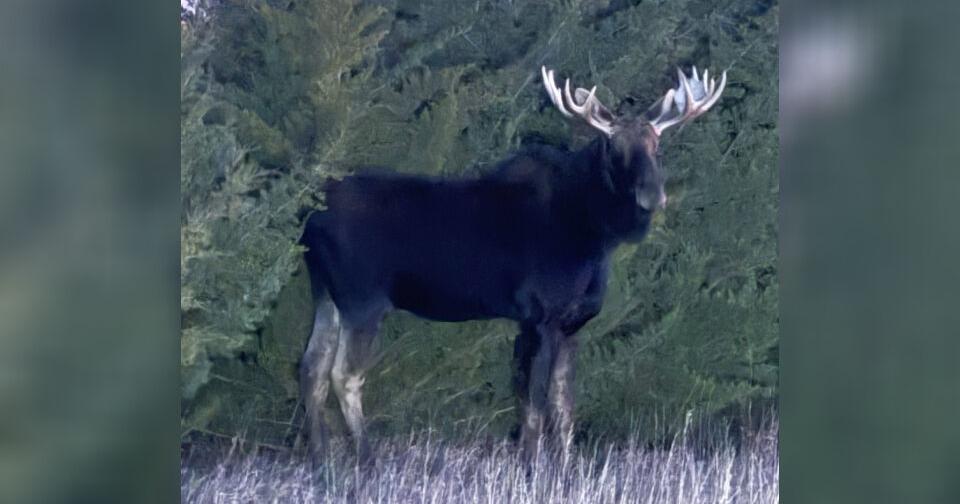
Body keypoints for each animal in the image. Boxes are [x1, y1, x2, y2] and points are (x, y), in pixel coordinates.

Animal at [298, 65, 726, 463]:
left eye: (657, 146)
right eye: (612, 146)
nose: (653, 195)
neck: (595, 235)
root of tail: (309, 220)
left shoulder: (572, 325)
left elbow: (564, 410)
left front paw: (564, 470)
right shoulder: (540, 316)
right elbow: (533, 407)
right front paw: (532, 468)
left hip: (326, 296)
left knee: (311, 369)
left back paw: (323, 464)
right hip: (362, 300)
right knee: (344, 376)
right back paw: (366, 462)